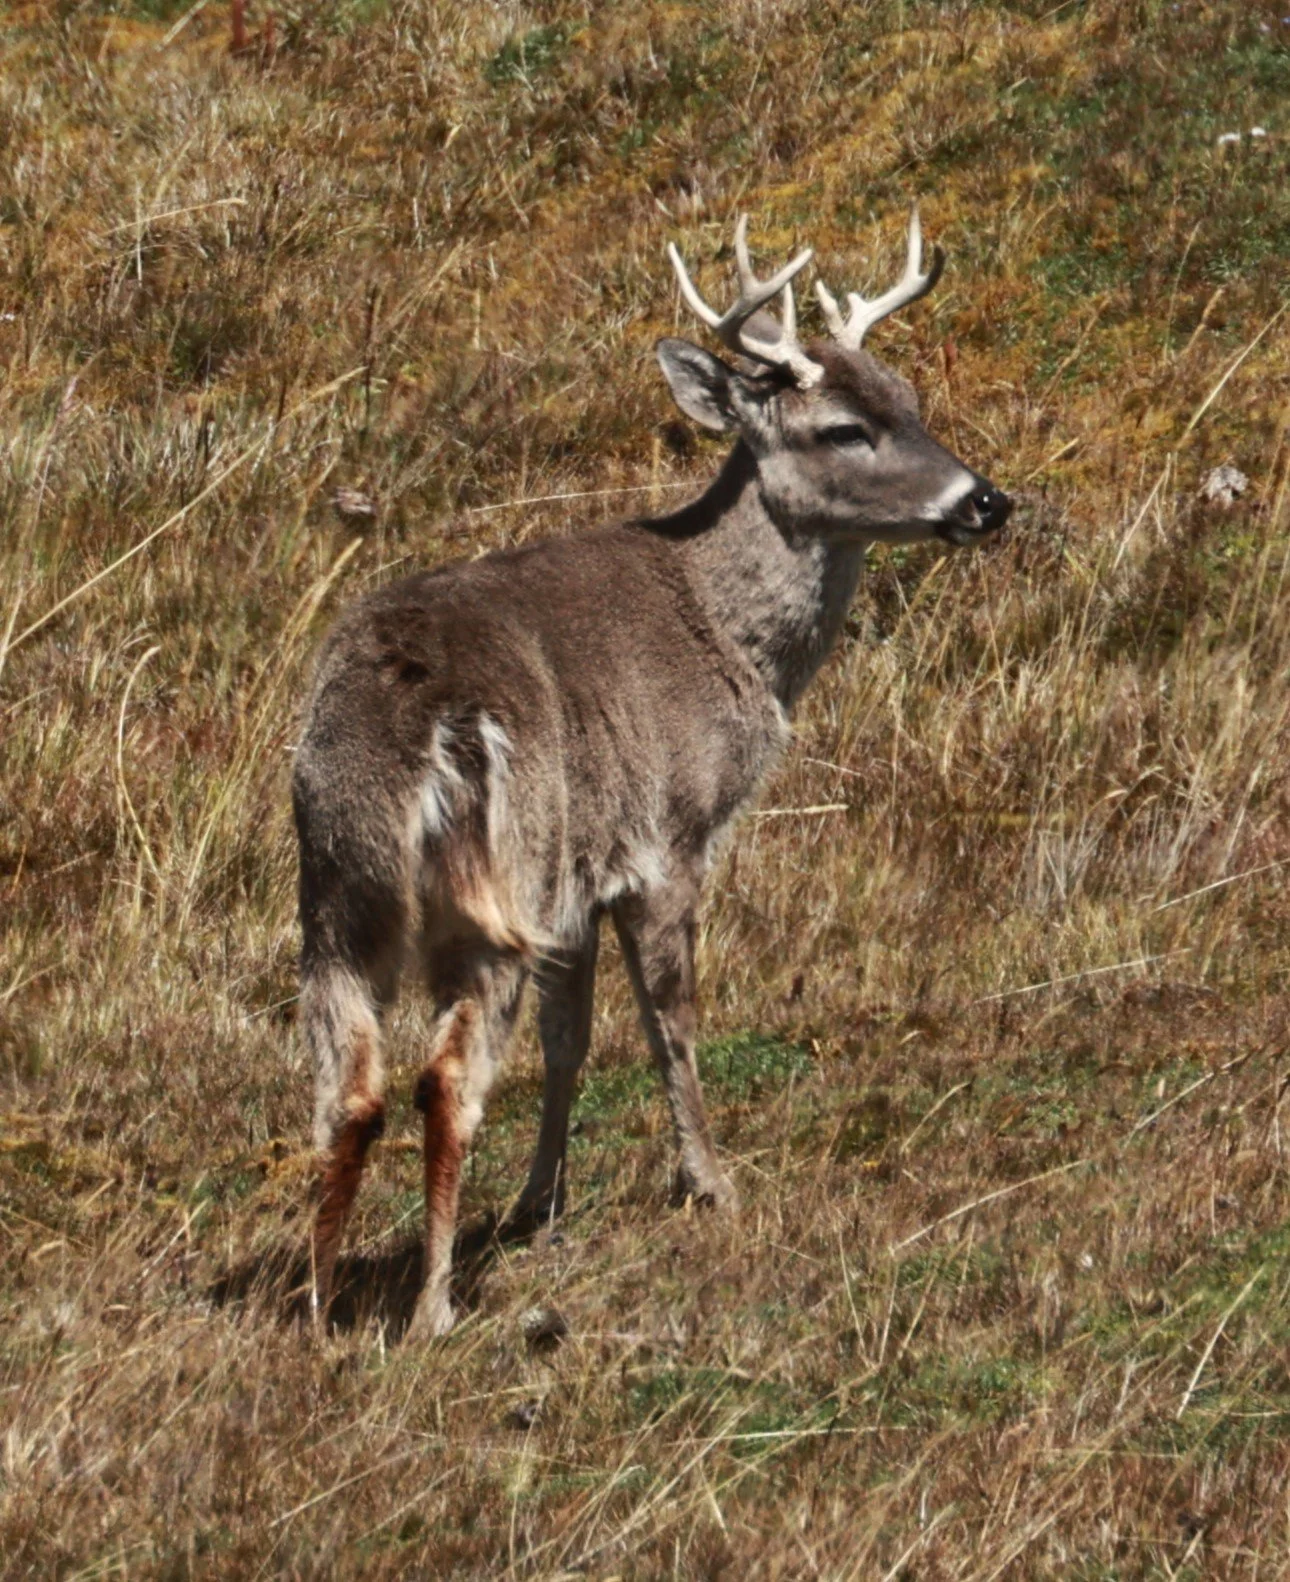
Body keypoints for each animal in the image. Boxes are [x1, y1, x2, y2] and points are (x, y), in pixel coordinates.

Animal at [293, 209, 1011, 1338]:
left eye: (909, 398)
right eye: (843, 430)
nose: (987, 501)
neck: (727, 634)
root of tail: (422, 732)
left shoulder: (571, 887)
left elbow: (570, 1037)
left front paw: (540, 1205)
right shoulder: (666, 839)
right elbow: (670, 1020)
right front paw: (712, 1182)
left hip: (338, 890)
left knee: (349, 1089)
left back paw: (323, 1305)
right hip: (490, 884)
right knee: (442, 1081)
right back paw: (434, 1308)